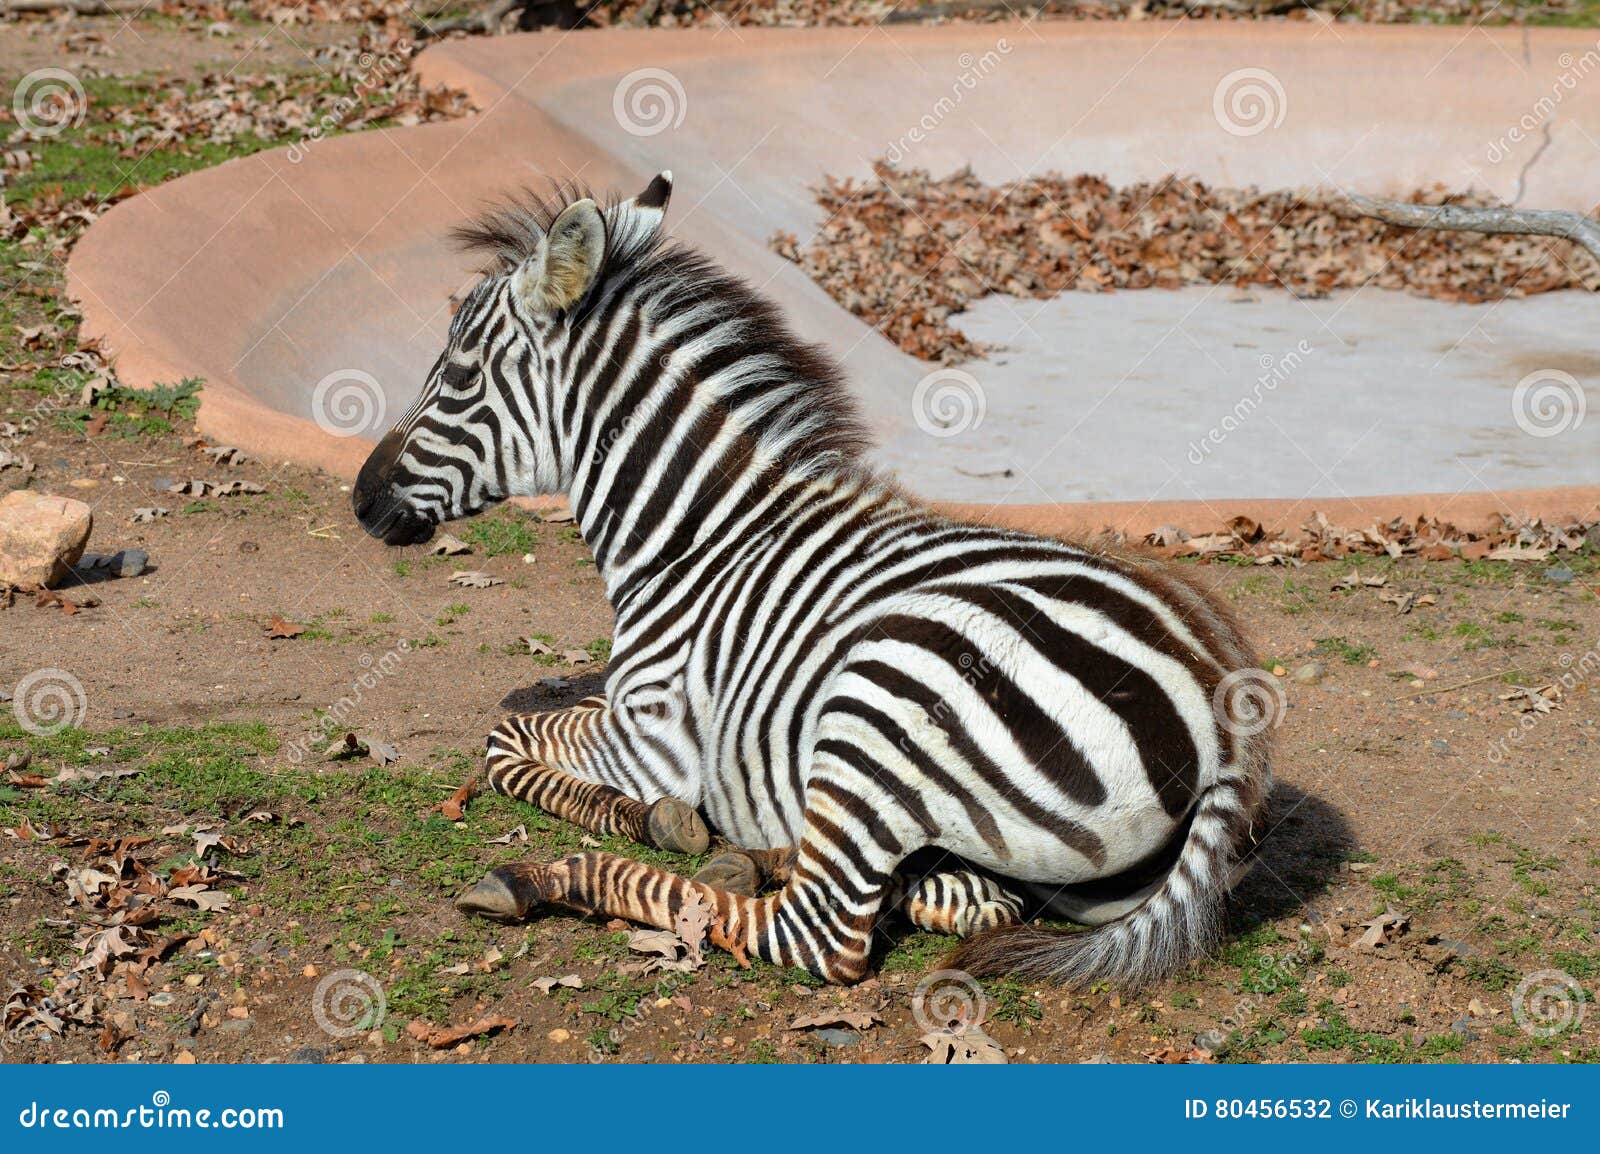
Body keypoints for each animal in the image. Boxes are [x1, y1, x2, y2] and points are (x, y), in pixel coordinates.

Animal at [352, 172, 1275, 987]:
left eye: (458, 373)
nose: (362, 499)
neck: (699, 536)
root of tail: (1223, 709)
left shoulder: (649, 736)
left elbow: (506, 742)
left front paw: (652, 818)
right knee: (962, 894)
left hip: (885, 694)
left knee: (817, 935)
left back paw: (555, 878)